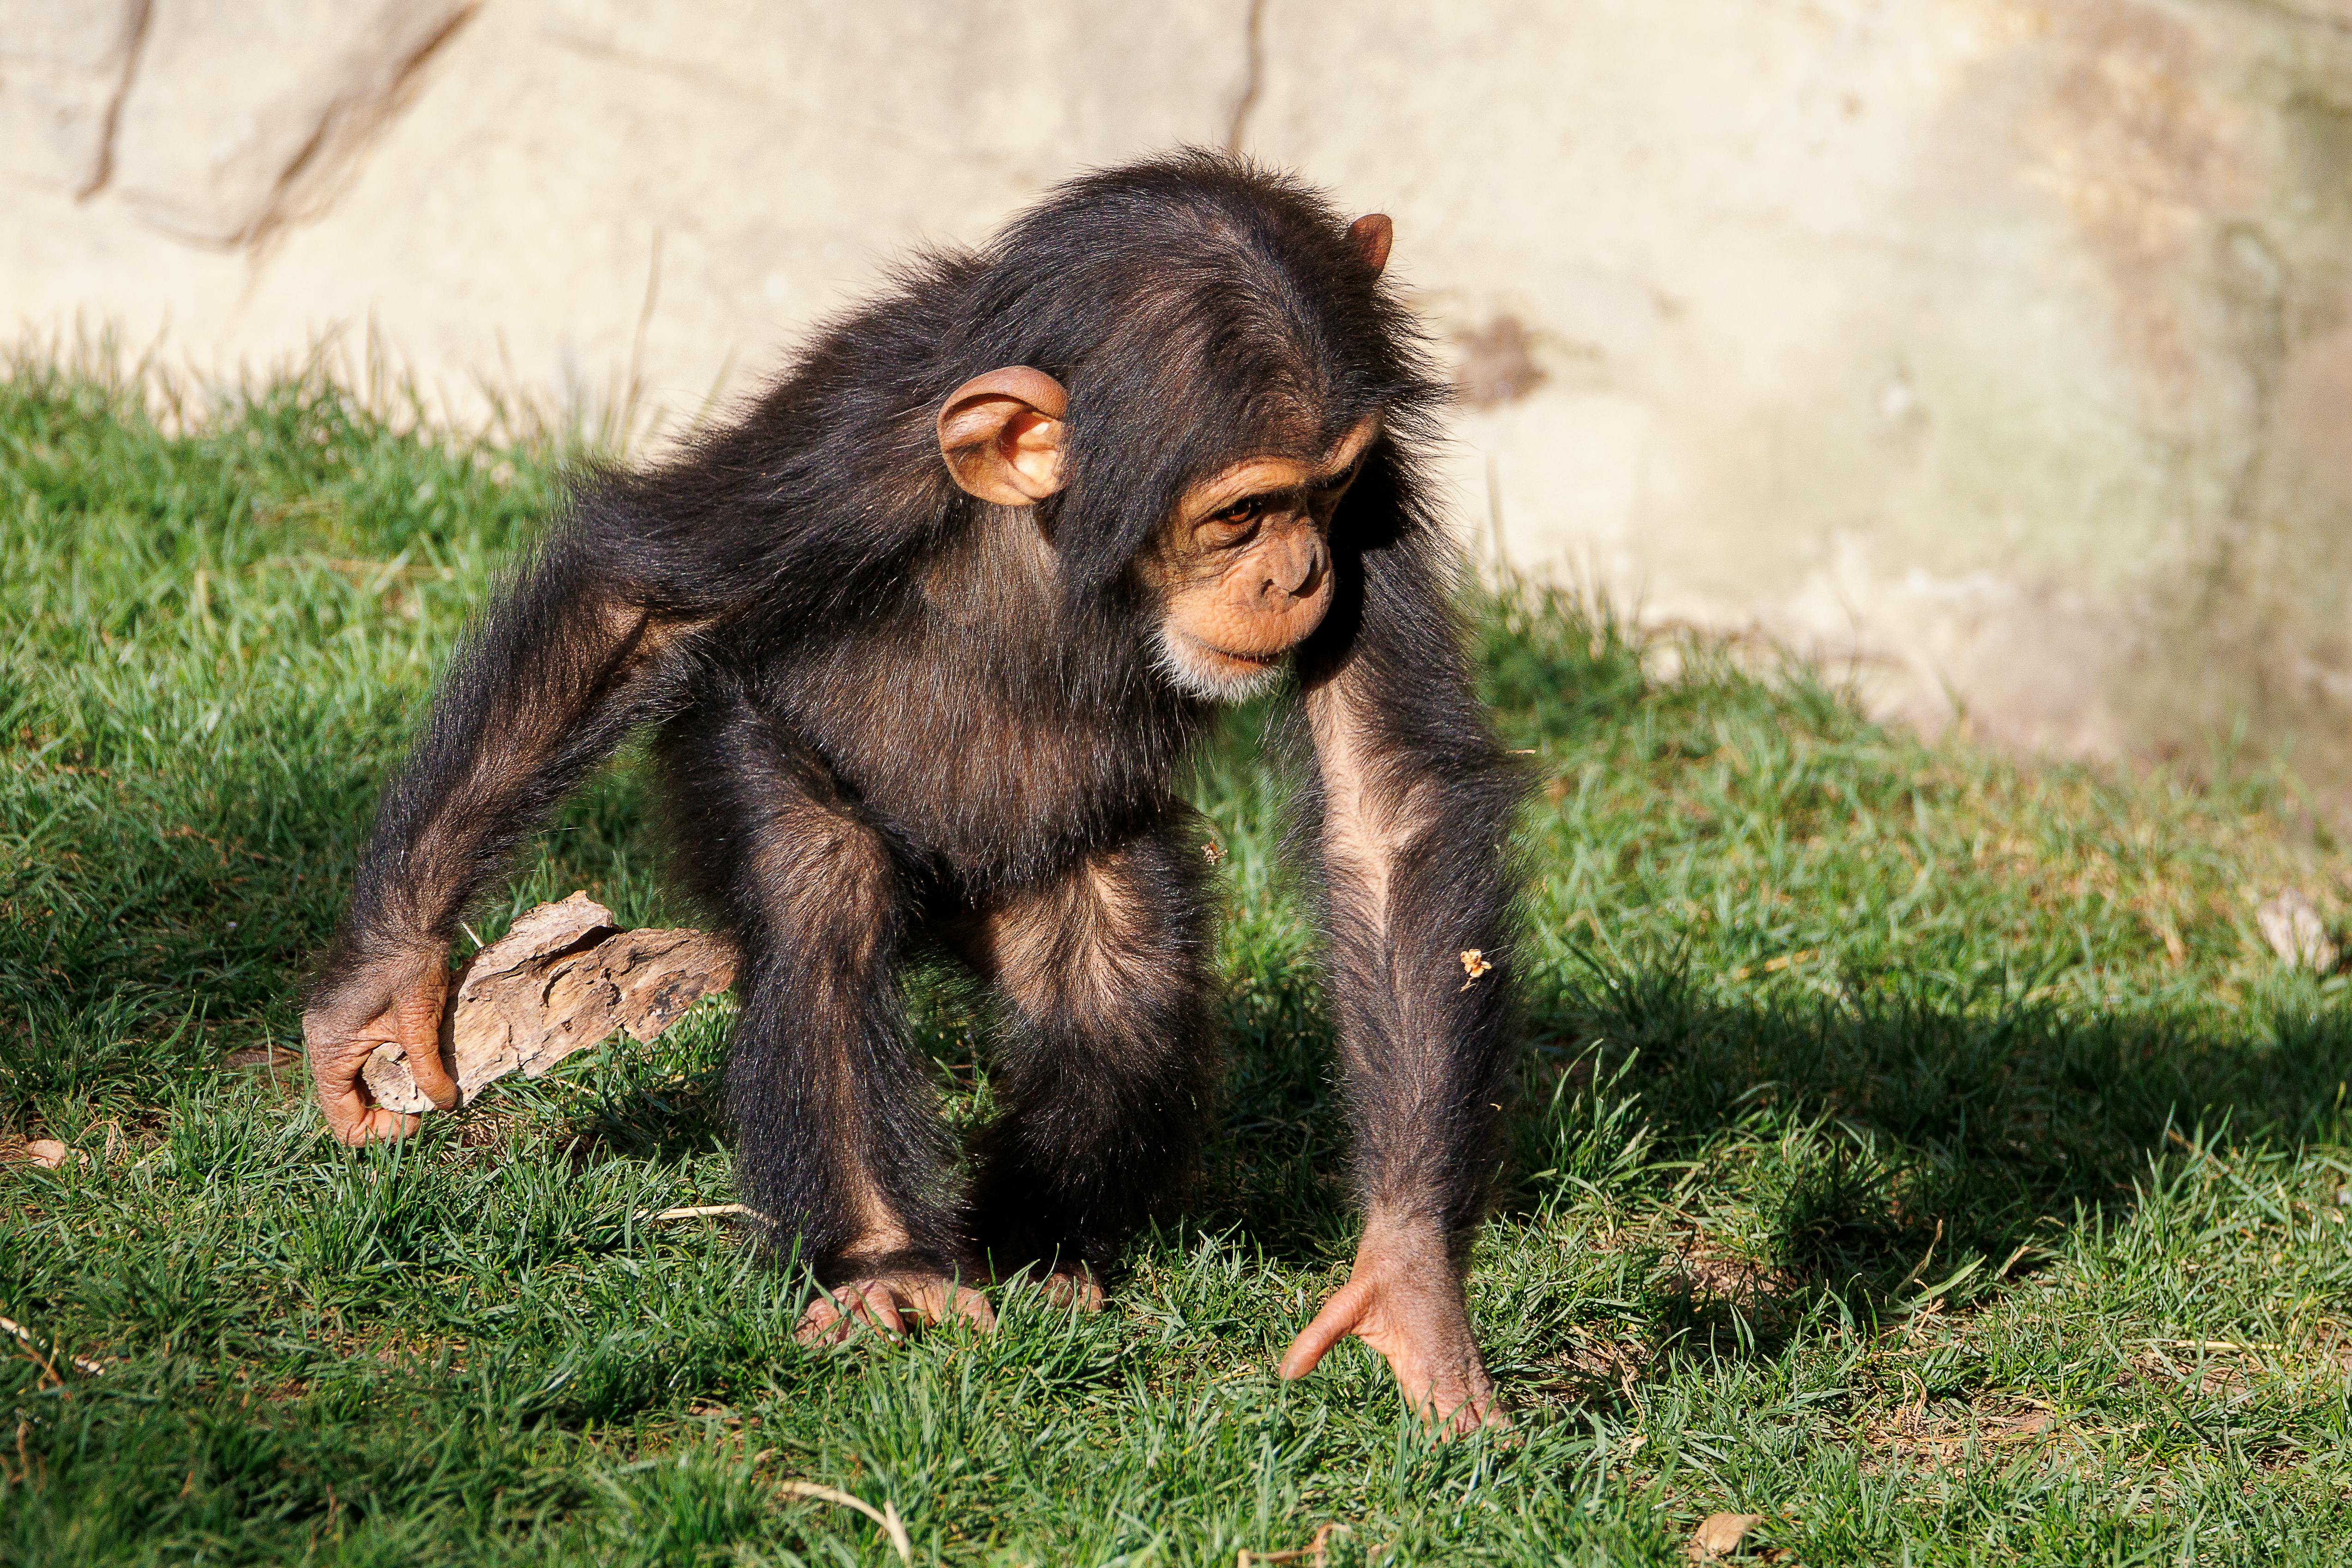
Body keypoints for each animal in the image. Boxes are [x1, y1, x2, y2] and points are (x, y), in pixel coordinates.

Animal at [302, 152, 1524, 1434]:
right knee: (821, 894)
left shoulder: (1383, 498)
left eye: (1327, 495)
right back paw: (884, 1271)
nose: (1298, 571)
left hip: (1040, 878)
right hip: (742, 759)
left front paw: (1406, 1278)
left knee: (1119, 977)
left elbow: (1385, 799)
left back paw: (1037, 1255)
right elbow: (636, 602)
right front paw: (382, 982)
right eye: (1242, 513)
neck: (1058, 523)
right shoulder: (848, 448)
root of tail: (947, 913)